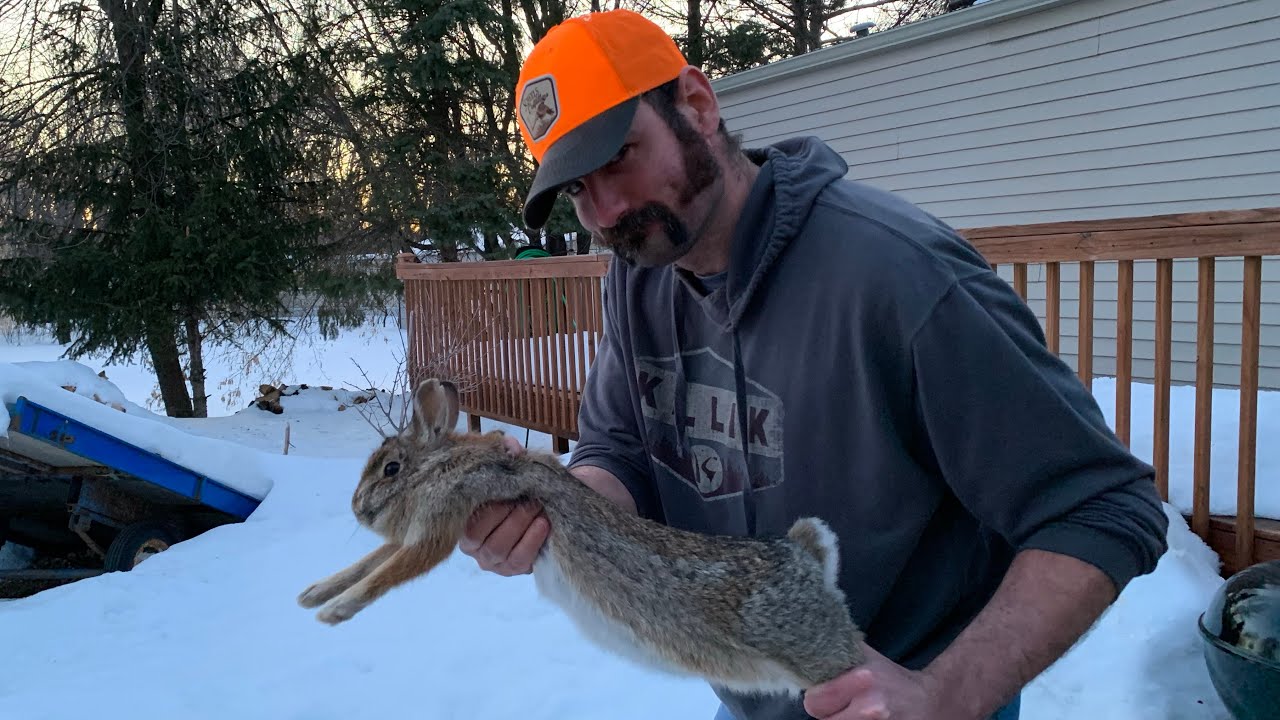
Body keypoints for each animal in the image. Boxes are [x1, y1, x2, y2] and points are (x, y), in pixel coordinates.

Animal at [297, 377, 865, 697]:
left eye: (391, 468)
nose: (357, 508)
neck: (446, 464)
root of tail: (809, 558)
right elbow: (369, 561)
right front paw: (312, 595)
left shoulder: (441, 523)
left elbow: (388, 573)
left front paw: (333, 614)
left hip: (813, 650)